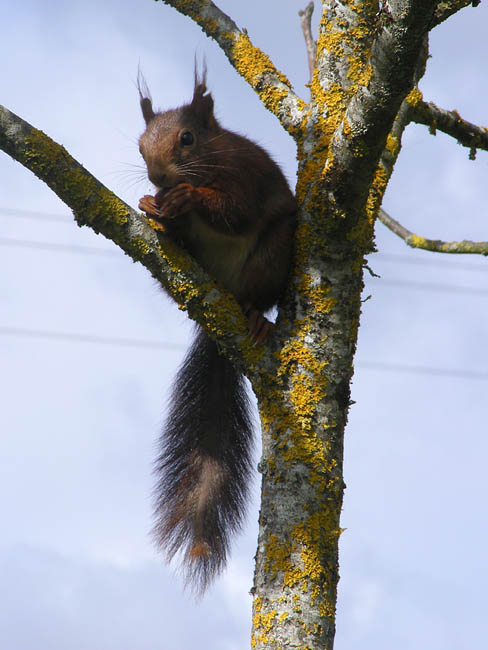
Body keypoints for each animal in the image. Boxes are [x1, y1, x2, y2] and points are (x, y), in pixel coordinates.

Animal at [137, 67, 296, 592]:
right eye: (141, 144)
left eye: (187, 138)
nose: (157, 178)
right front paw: (152, 204)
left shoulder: (245, 178)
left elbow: (233, 212)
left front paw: (186, 198)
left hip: (272, 257)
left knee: (257, 291)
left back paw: (254, 316)